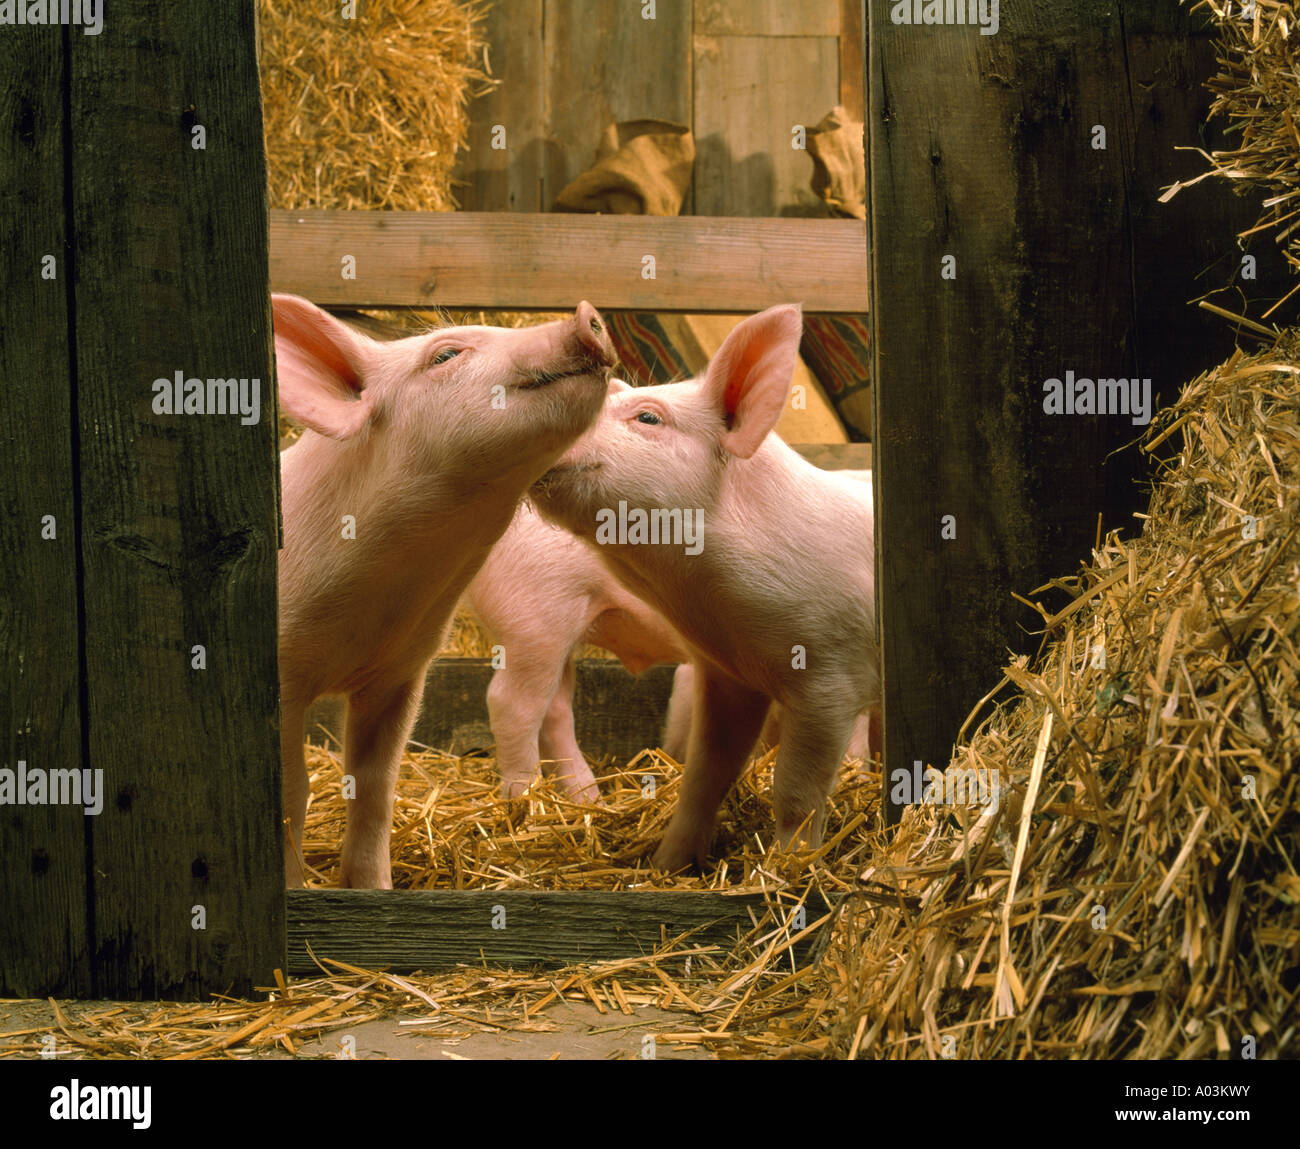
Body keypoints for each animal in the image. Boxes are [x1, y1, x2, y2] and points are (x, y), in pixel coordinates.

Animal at [274, 294, 617, 888]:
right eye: (446, 355)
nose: (587, 313)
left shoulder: (400, 673)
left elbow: (377, 789)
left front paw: (376, 890)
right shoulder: (282, 672)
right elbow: (295, 791)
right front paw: (298, 892)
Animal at [531, 304, 879, 871]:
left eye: (649, 418)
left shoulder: (832, 677)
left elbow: (797, 792)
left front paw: (783, 870)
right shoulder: (725, 676)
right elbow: (703, 778)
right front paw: (665, 866)